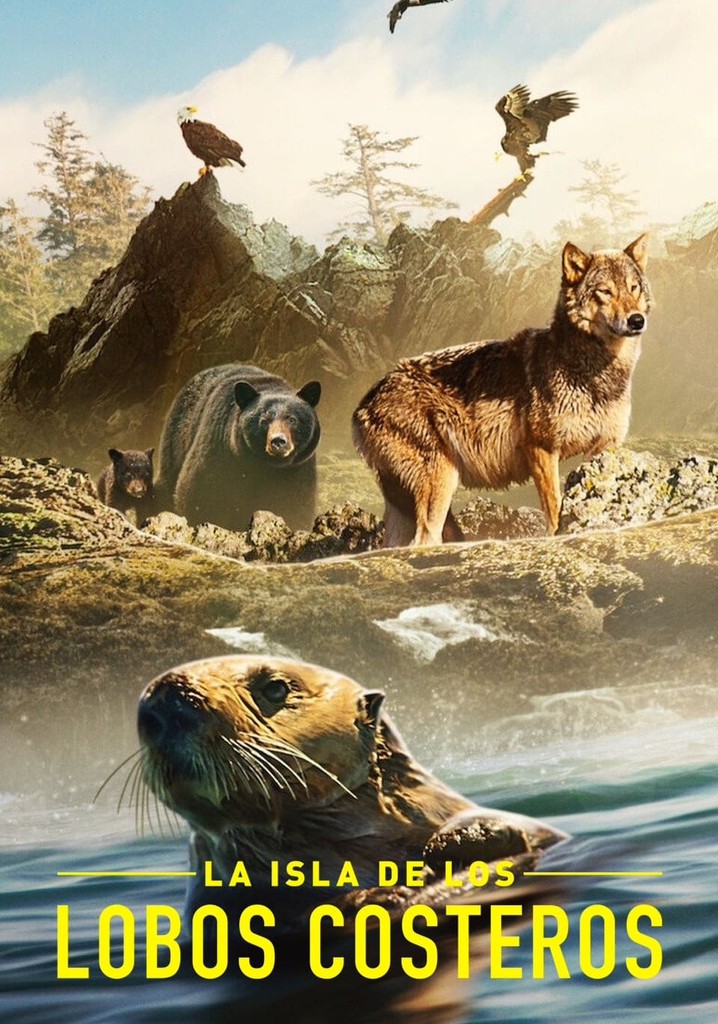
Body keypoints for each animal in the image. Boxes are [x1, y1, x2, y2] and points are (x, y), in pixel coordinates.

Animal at [353, 235, 652, 546]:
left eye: (633, 287)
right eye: (605, 291)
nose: (636, 320)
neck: (593, 371)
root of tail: (363, 404)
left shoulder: (604, 450)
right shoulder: (542, 449)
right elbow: (554, 511)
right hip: (441, 483)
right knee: (424, 540)